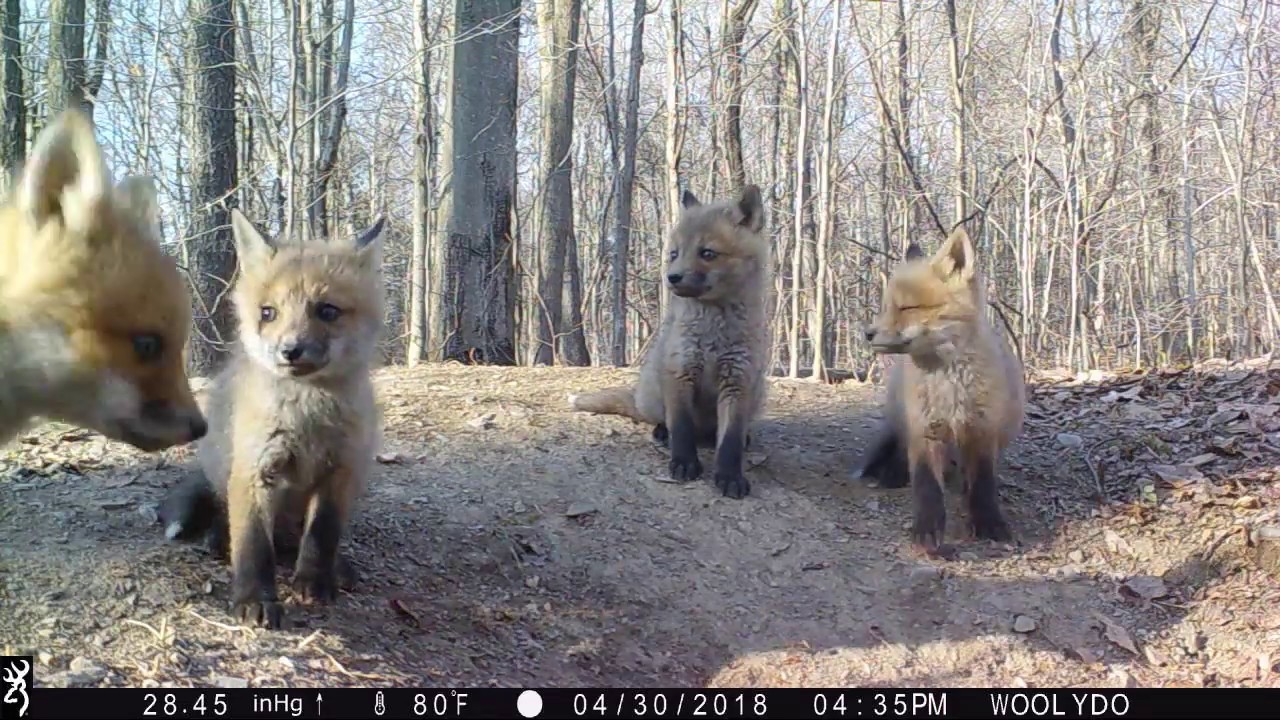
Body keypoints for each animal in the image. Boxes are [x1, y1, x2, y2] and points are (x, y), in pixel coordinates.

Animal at [156, 209, 386, 629]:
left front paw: (314, 581)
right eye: (268, 313)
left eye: (327, 311)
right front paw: (254, 599)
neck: (307, 417)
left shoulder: (341, 468)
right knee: (230, 517)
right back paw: (219, 539)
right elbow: (253, 546)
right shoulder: (255, 466)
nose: (289, 350)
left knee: (297, 536)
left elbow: (322, 534)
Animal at [569, 184, 771, 499]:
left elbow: (730, 441)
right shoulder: (680, 370)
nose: (671, 277)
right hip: (655, 388)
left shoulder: (738, 379)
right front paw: (684, 463)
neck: (713, 334)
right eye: (675, 253)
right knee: (663, 419)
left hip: (759, 392)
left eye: (707, 253)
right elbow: (682, 428)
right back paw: (662, 432)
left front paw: (729, 476)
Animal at [853, 226, 1025, 558]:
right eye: (886, 307)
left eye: (907, 308)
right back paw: (894, 472)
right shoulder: (925, 429)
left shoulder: (982, 429)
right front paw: (926, 532)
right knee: (900, 450)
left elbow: (984, 483)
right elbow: (926, 486)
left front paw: (989, 523)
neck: (950, 386)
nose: (867, 333)